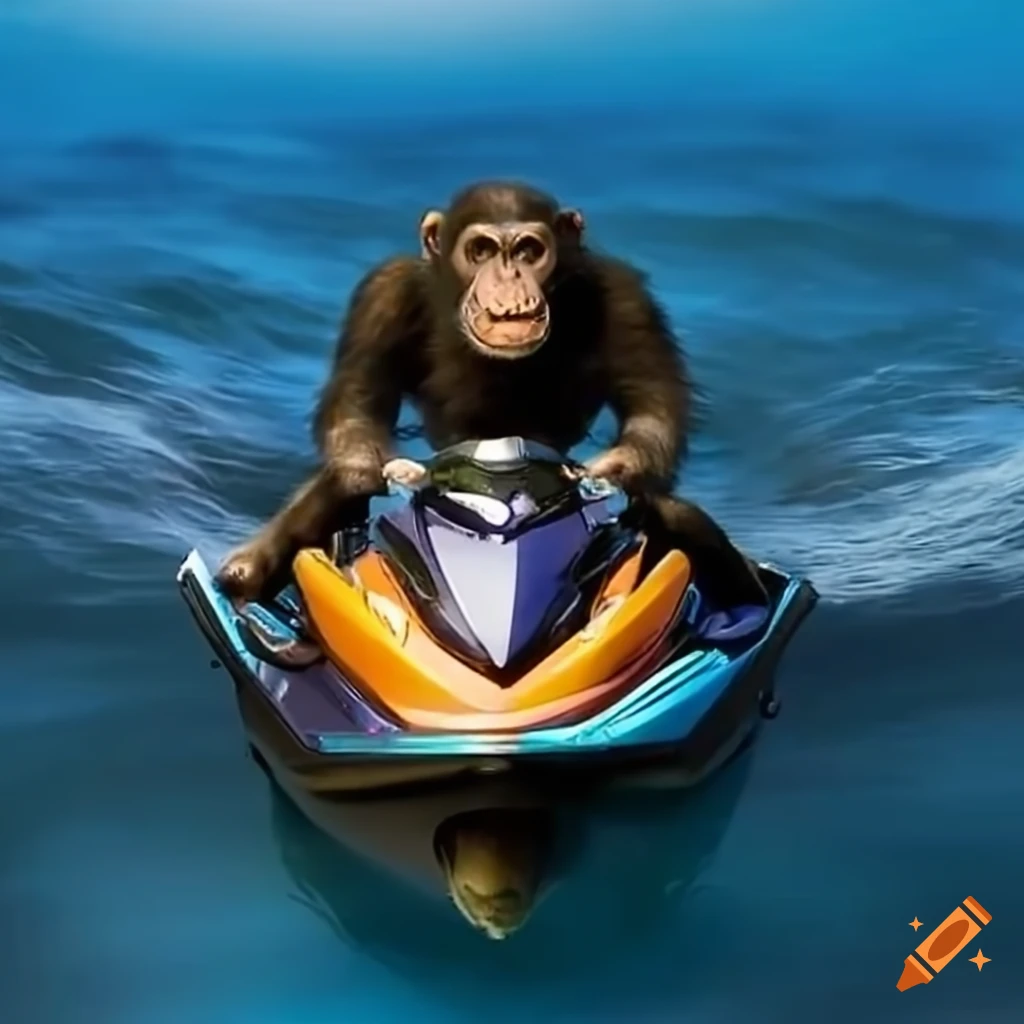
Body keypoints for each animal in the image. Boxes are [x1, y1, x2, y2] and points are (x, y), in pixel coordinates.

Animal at [216, 181, 766, 612]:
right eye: (480, 250)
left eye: (528, 251)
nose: (508, 278)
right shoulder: (384, 294)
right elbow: (357, 399)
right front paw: (370, 472)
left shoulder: (624, 295)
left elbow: (652, 400)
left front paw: (617, 470)